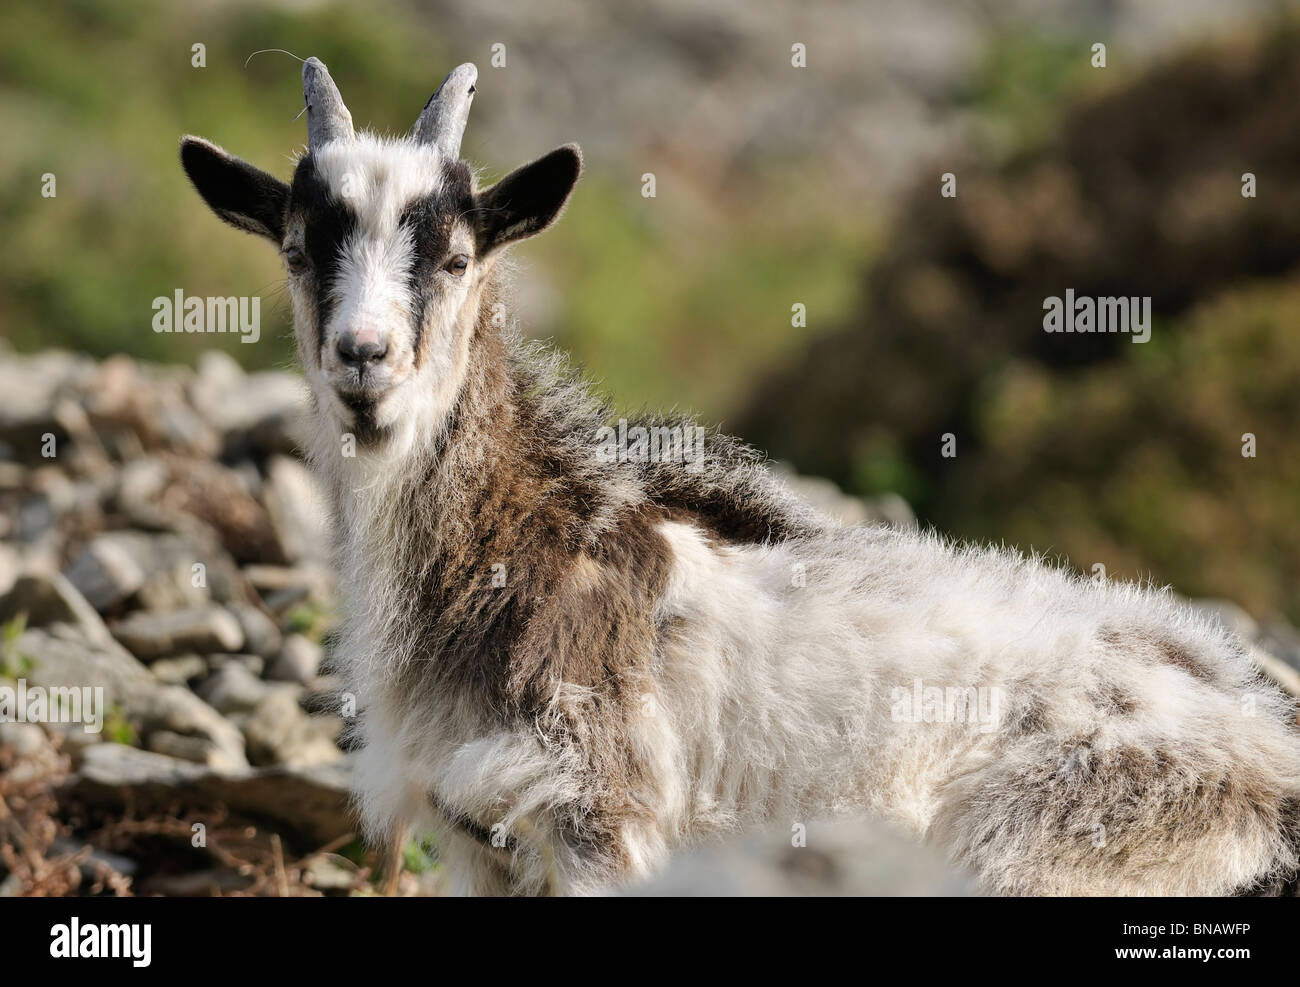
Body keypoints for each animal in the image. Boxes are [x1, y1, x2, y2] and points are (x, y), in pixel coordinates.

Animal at [180, 58, 1300, 895]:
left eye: (456, 259)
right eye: (296, 249)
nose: (363, 361)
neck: (520, 544)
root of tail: (1267, 756)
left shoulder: (602, 818)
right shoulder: (475, 840)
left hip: (1054, 842)